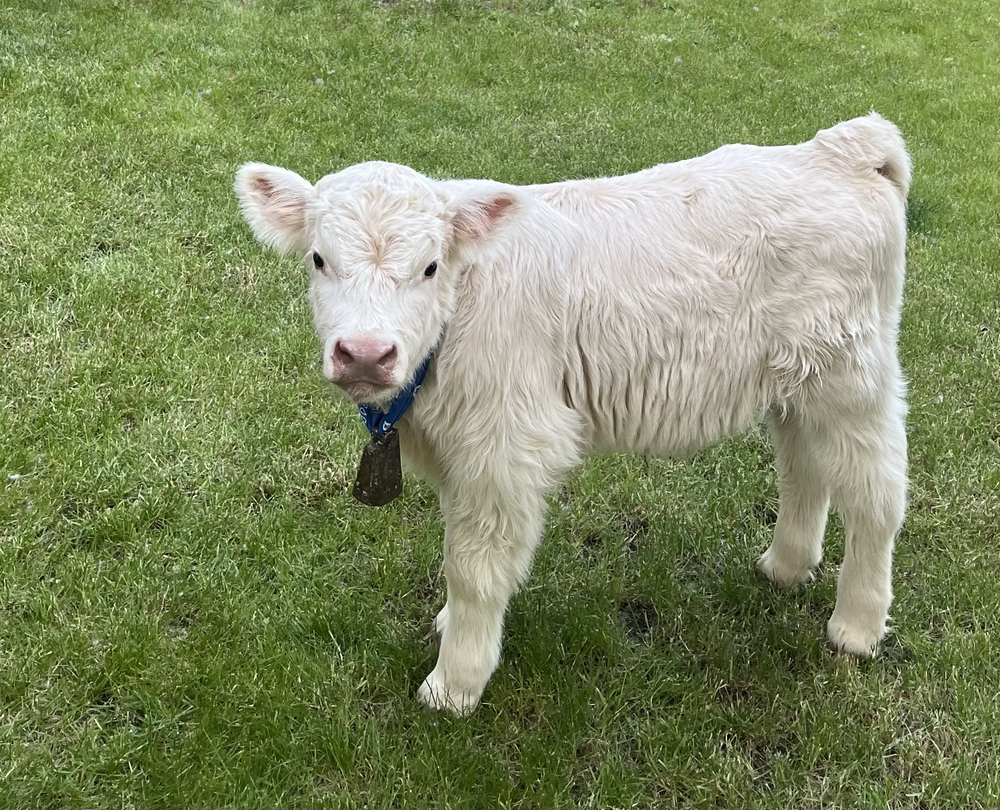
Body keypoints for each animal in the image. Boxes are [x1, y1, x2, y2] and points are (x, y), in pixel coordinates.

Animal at [234, 113, 910, 716]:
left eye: (429, 267)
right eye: (319, 259)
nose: (366, 354)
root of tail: (838, 148)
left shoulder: (505, 445)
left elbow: (474, 566)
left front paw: (454, 686)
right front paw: (450, 625)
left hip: (852, 374)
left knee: (875, 491)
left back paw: (856, 628)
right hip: (796, 381)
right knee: (805, 466)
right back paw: (786, 568)